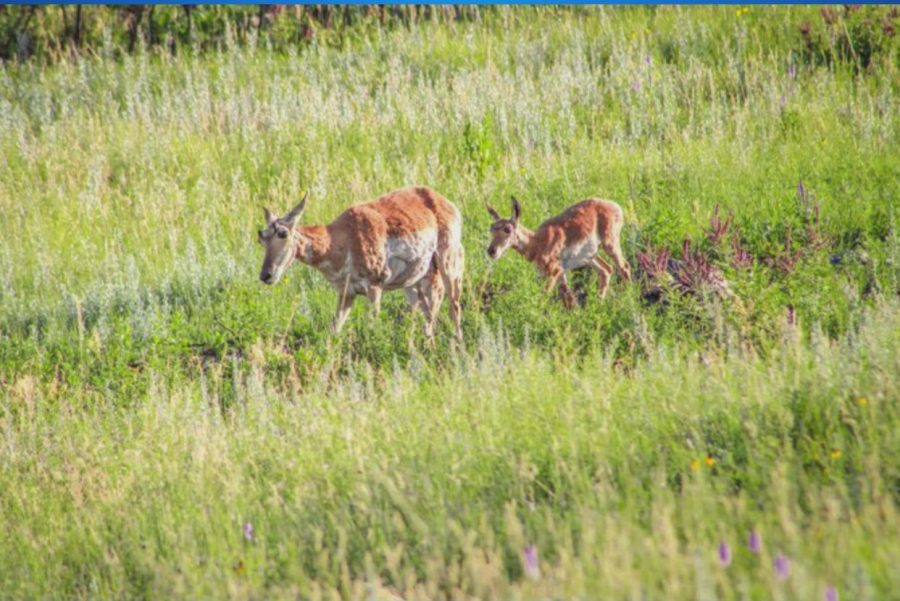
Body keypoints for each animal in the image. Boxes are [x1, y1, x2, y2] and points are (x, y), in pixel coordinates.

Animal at [258, 186, 464, 340]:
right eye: (261, 237)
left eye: (283, 233)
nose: (265, 275)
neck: (342, 237)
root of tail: (442, 201)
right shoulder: (346, 293)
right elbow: (334, 329)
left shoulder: (374, 287)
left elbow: (372, 327)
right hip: (413, 282)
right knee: (427, 315)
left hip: (447, 265)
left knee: (453, 305)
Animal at [485, 196, 631, 308]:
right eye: (491, 228)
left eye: (507, 229)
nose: (491, 251)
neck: (538, 241)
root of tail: (614, 206)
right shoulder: (558, 273)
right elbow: (569, 298)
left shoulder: (554, 272)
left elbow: (544, 295)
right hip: (591, 257)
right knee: (606, 270)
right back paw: (597, 304)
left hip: (610, 245)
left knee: (624, 267)